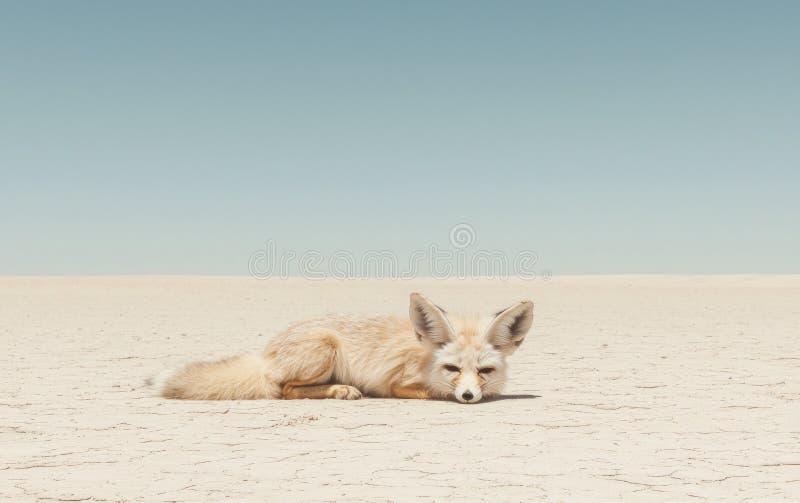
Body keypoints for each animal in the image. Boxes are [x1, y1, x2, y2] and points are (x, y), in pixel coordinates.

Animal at [152, 293, 533, 404]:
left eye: (484, 370)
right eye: (451, 369)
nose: (468, 397)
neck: (424, 360)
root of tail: (265, 355)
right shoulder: (396, 383)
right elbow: (429, 392)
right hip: (325, 346)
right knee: (285, 390)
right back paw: (341, 389)